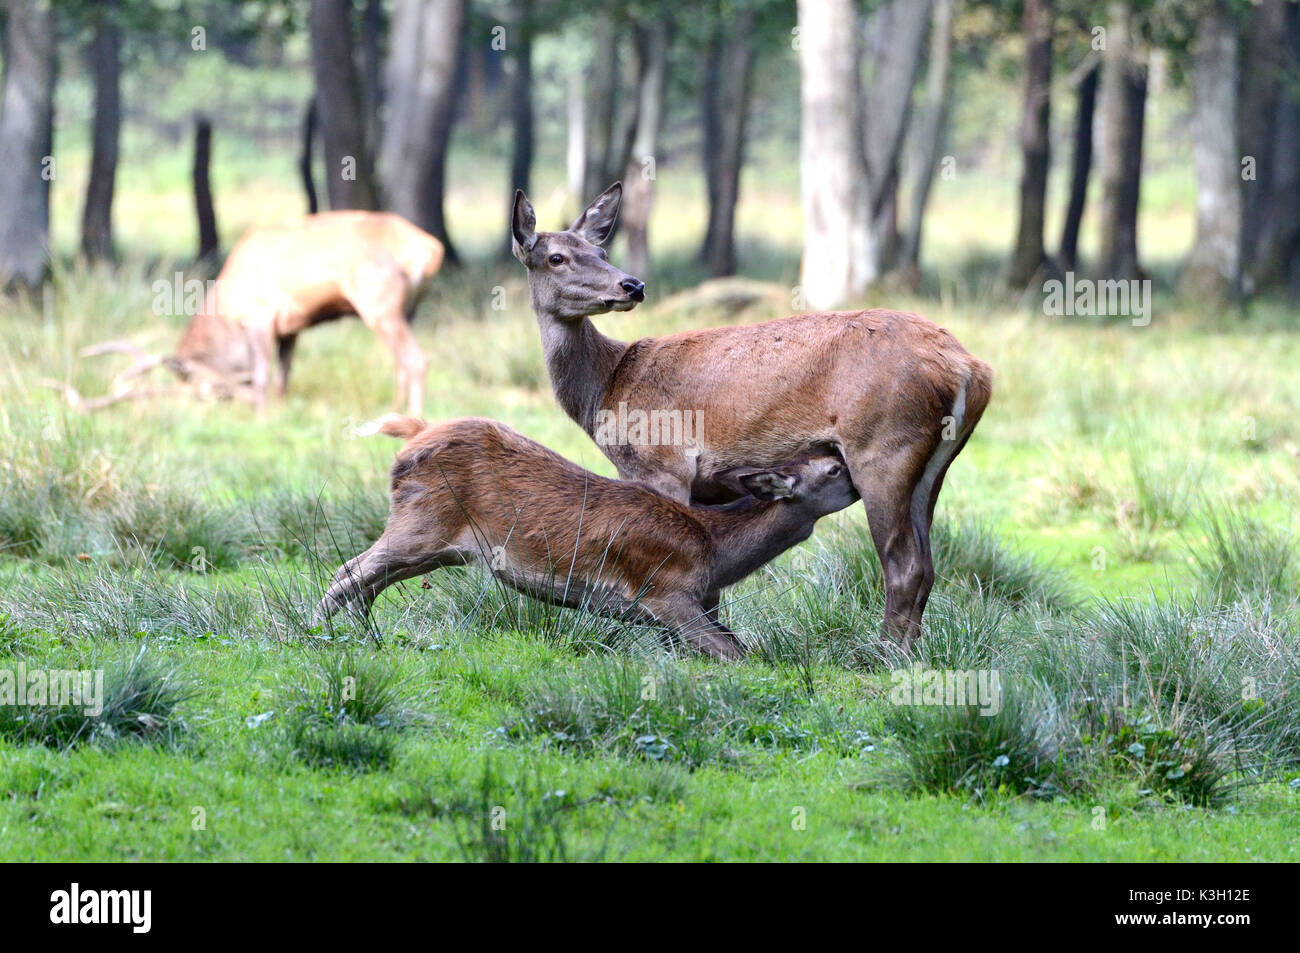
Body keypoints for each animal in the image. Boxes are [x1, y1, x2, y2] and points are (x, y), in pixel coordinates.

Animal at [55, 212, 443, 413]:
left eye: (205, 387)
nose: (229, 402)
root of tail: (429, 248)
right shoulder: (291, 328)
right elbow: (284, 375)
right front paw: (281, 409)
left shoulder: (261, 317)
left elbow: (261, 375)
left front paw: (262, 414)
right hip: (407, 308)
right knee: (400, 362)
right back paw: (392, 411)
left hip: (379, 304)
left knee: (416, 359)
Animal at [314, 415, 859, 660]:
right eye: (834, 467)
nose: (862, 480)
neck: (715, 554)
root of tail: (413, 434)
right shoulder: (666, 594)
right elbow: (736, 654)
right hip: (419, 524)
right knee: (349, 570)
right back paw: (314, 632)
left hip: (435, 545)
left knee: (368, 581)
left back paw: (363, 633)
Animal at [510, 183, 994, 651]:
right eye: (557, 257)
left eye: (602, 253)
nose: (633, 285)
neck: (608, 389)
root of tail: (971, 369)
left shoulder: (661, 463)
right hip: (932, 466)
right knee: (927, 564)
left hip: (884, 448)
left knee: (903, 564)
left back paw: (885, 655)